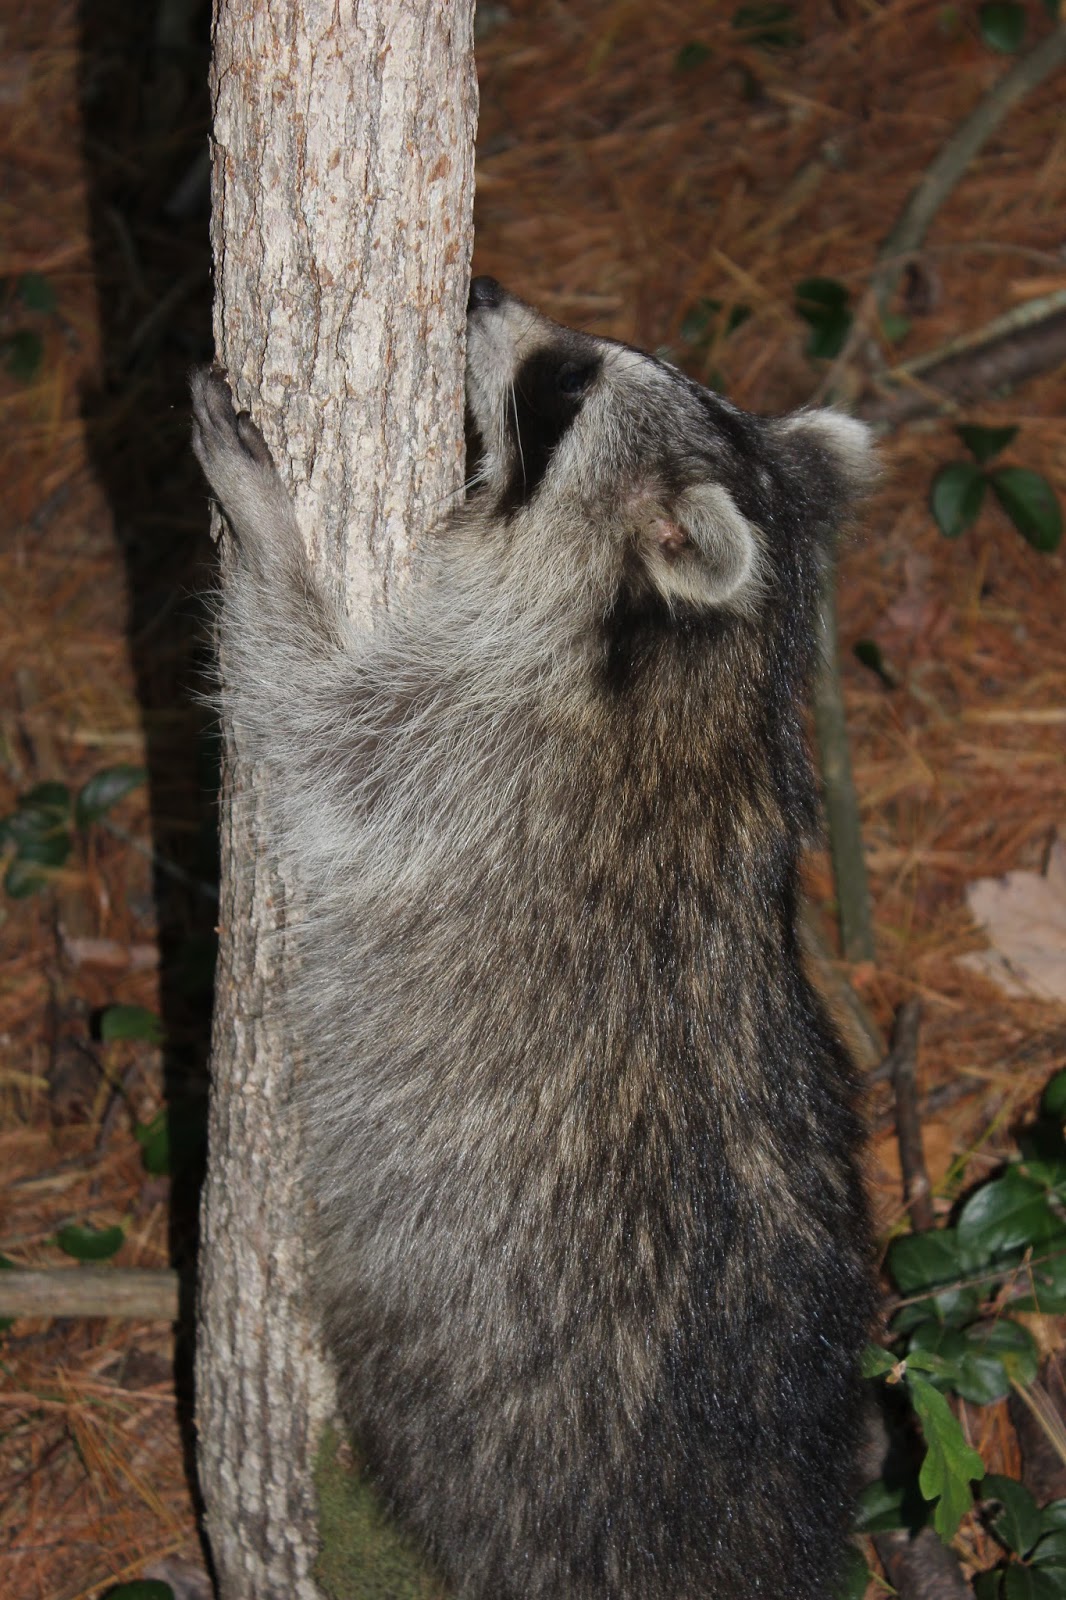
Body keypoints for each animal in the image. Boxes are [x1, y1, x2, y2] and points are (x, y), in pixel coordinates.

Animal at [191, 275, 874, 1600]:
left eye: (562, 388)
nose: (482, 289)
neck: (708, 663)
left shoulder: (470, 749)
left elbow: (305, 717)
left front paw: (271, 534)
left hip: (498, 1427)